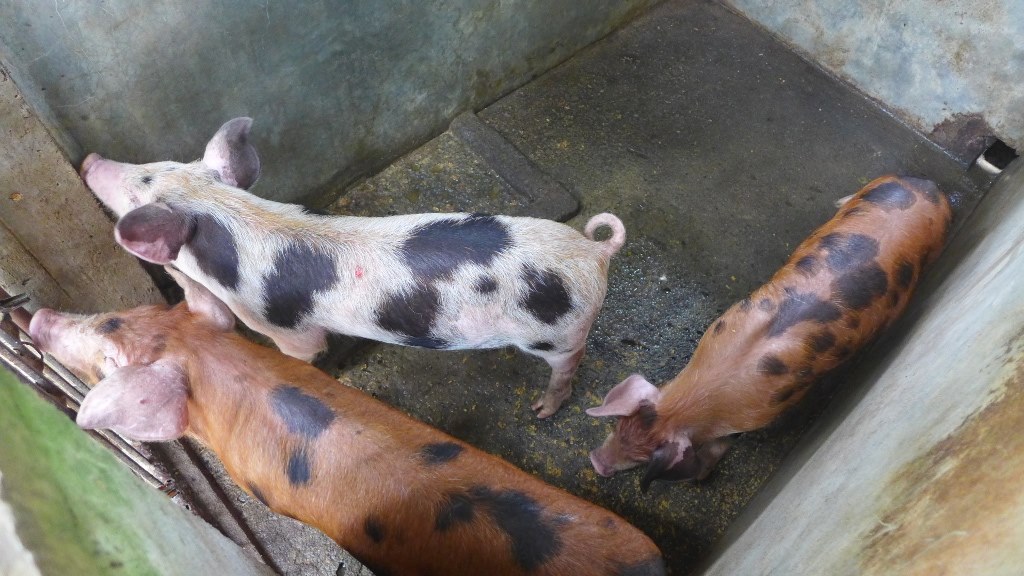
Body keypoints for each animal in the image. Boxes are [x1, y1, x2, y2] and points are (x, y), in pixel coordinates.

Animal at [80, 118, 625, 418]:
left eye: (138, 190)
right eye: (157, 165)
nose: (88, 160)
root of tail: (593, 253)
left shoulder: (285, 326)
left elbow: (303, 353)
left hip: (557, 333)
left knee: (569, 364)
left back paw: (542, 410)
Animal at [587, 175, 952, 491]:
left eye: (640, 460)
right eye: (618, 426)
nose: (595, 462)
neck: (699, 398)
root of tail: (930, 187)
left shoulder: (762, 413)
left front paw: (702, 476)